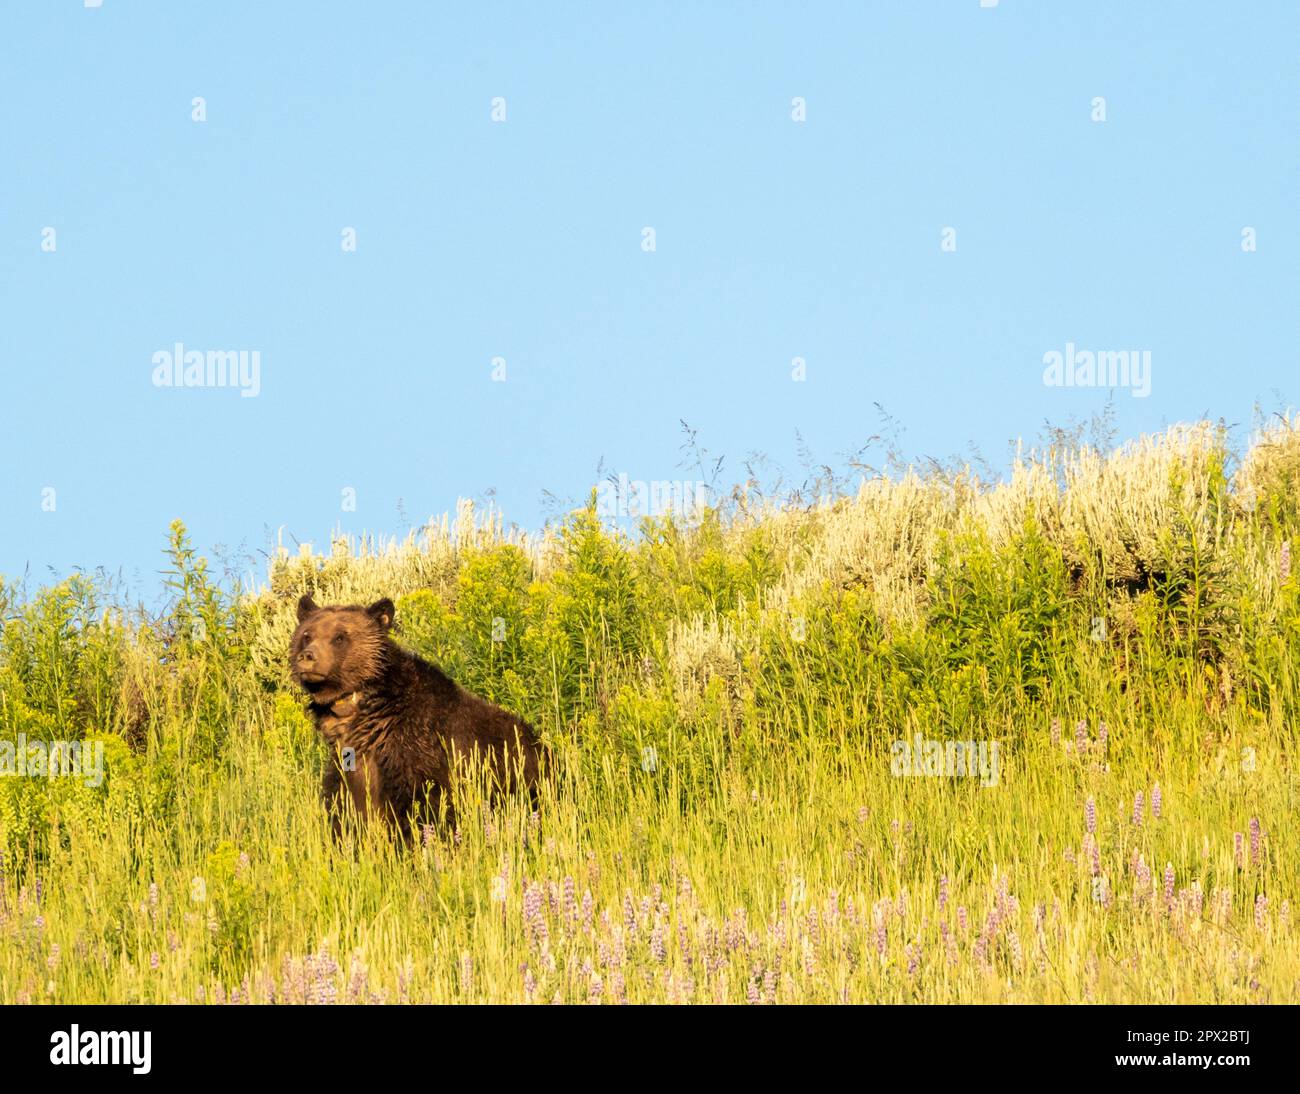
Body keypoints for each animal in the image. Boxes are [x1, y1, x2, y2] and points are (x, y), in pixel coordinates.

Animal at [289, 593, 544, 838]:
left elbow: (425, 806)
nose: (308, 656)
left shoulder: (417, 747)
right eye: (307, 635)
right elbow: (345, 807)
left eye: (340, 637)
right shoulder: (348, 762)